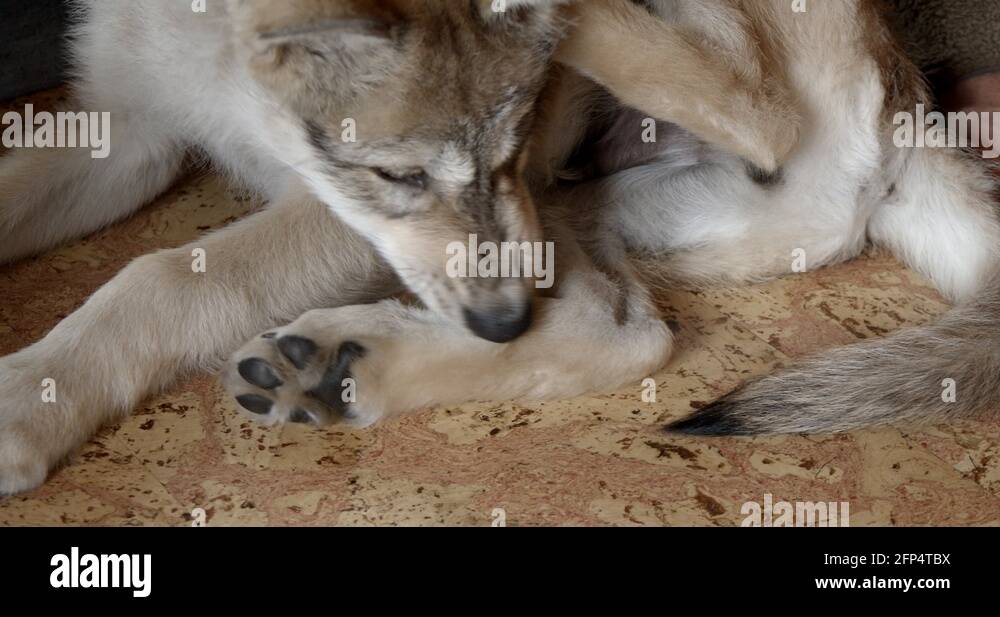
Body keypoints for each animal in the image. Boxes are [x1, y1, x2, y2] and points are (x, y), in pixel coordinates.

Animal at [0, 0, 996, 495]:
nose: (504, 317)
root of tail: (906, 92)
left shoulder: (339, 203)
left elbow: (161, 275)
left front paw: (30, 397)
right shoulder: (127, 130)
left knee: (761, 108)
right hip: (595, 206)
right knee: (629, 330)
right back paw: (344, 366)